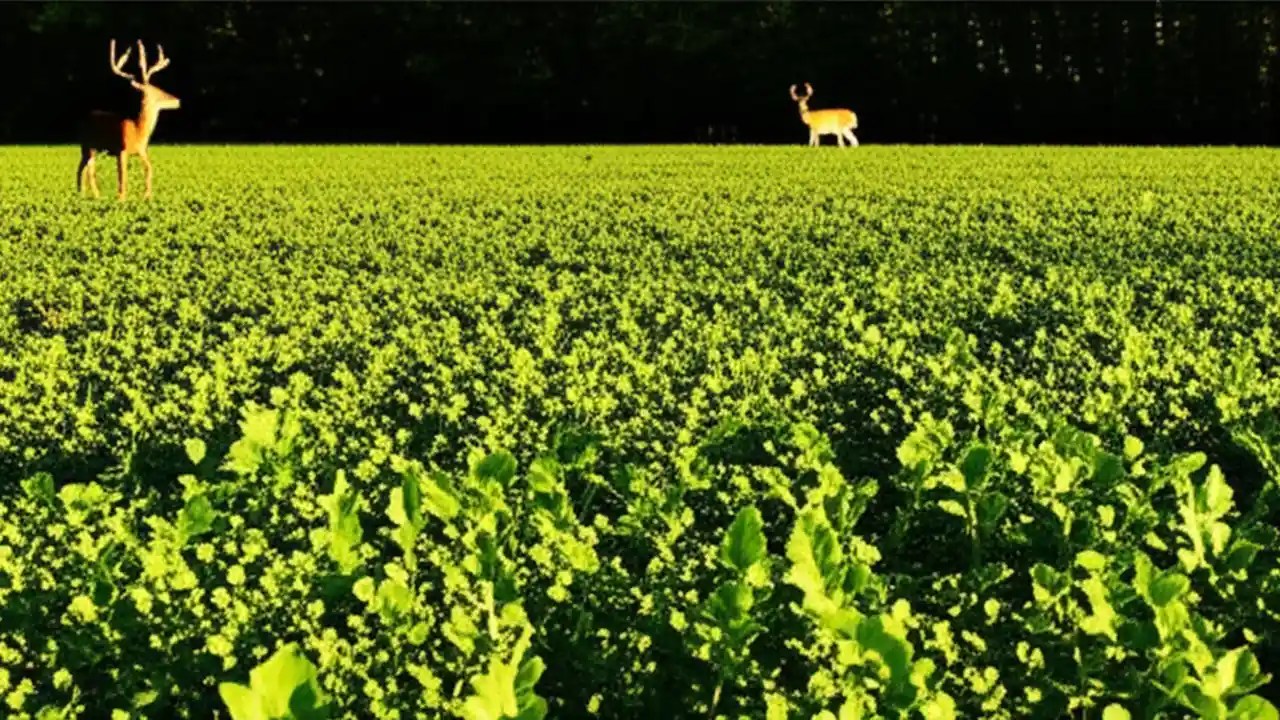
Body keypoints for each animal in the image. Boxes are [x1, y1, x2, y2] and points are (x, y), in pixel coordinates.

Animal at [78, 40, 180, 200]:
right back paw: (88, 195)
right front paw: (121, 199)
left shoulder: (142, 150)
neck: (138, 130)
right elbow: (122, 177)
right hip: (87, 145)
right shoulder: (121, 150)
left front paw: (147, 196)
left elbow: (149, 169)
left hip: (93, 148)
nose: (177, 100)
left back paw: (89, 194)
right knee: (85, 168)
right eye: (158, 91)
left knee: (86, 168)